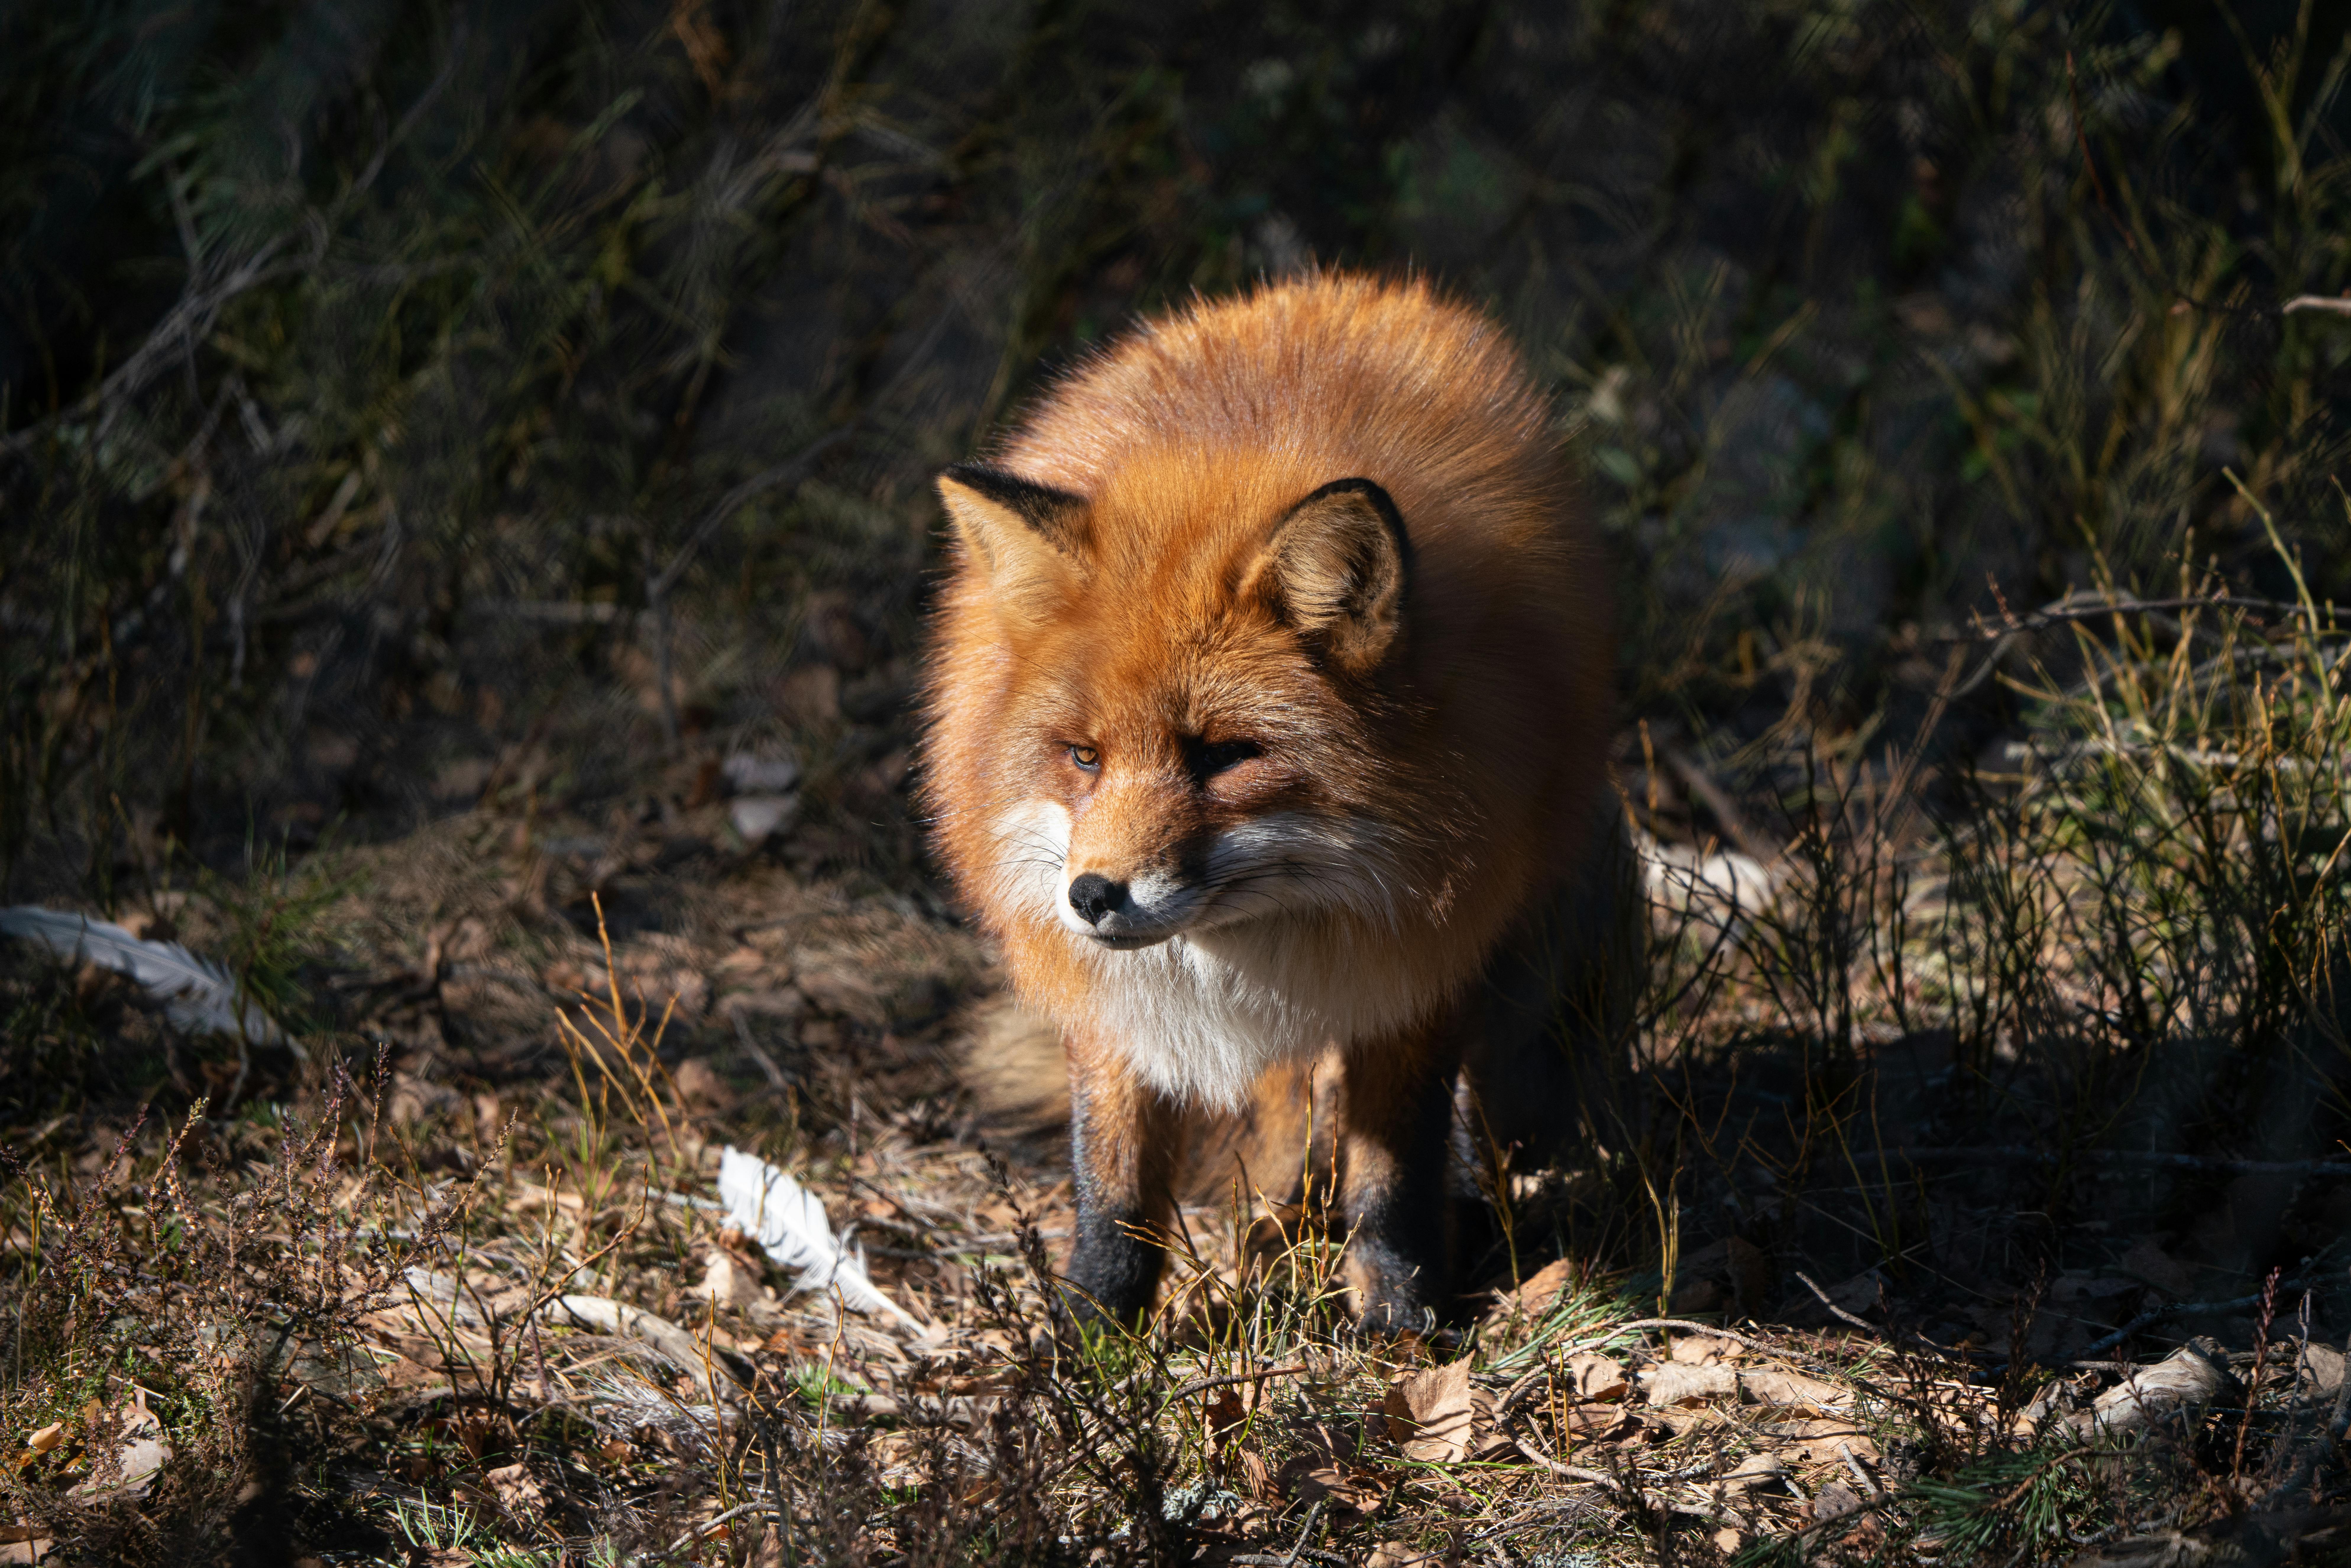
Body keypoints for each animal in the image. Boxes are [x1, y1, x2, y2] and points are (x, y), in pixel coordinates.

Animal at [922, 272, 1639, 1334]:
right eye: (1082, 757)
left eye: (1224, 757)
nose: (1092, 896)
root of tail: (1348, 285)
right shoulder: (1113, 1001)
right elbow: (1115, 1185)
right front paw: (1091, 1340)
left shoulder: (1417, 960)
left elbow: (1394, 1172)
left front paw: (1400, 1325)